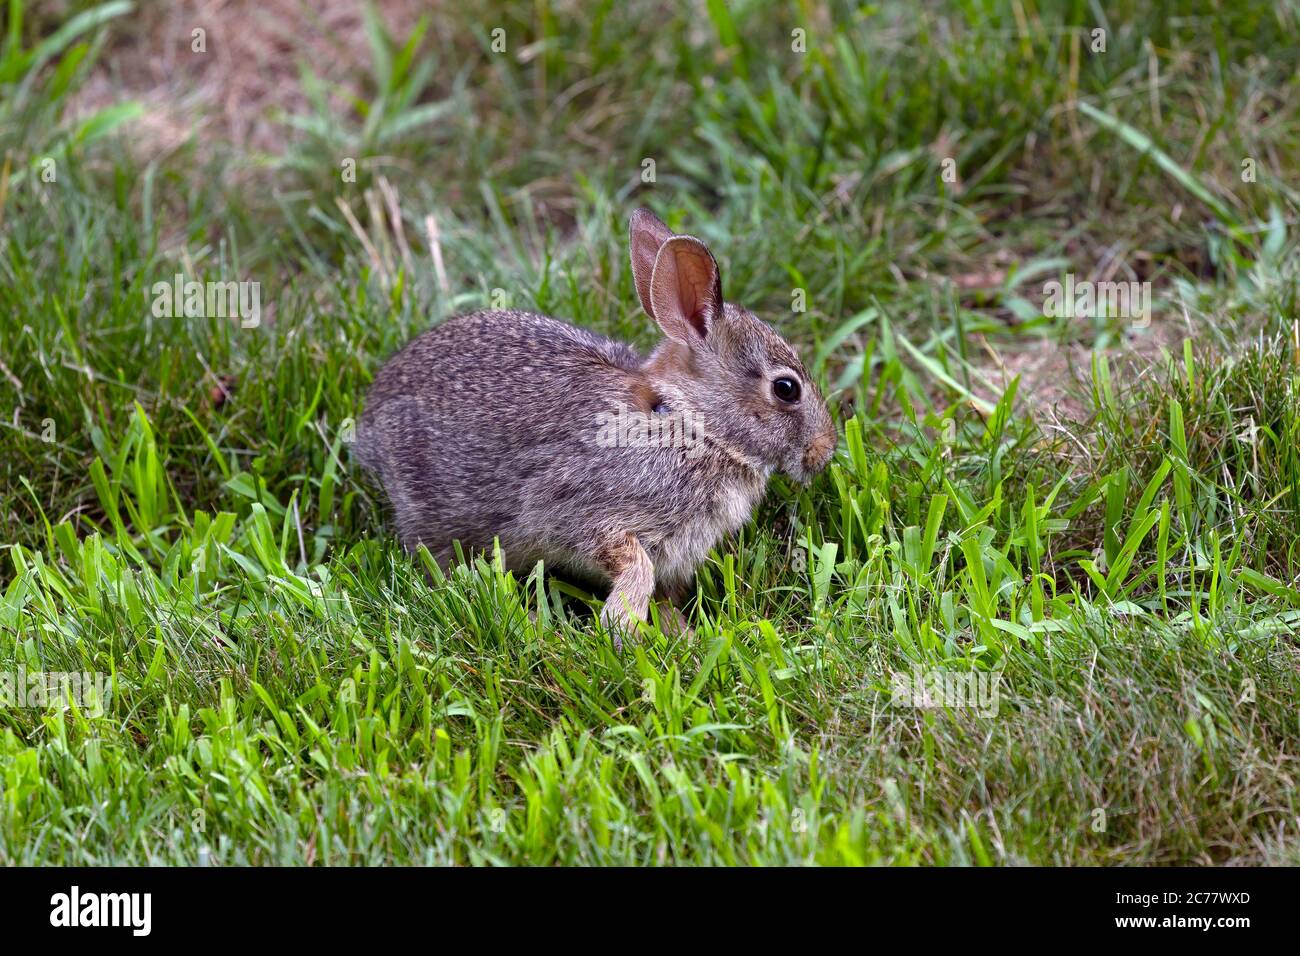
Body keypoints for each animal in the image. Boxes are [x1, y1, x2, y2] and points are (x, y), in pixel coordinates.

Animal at [355, 207, 837, 646]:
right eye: (786, 389)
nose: (825, 449)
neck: (689, 420)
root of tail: (372, 417)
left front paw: (682, 636)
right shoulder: (581, 511)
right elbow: (635, 564)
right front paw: (620, 625)